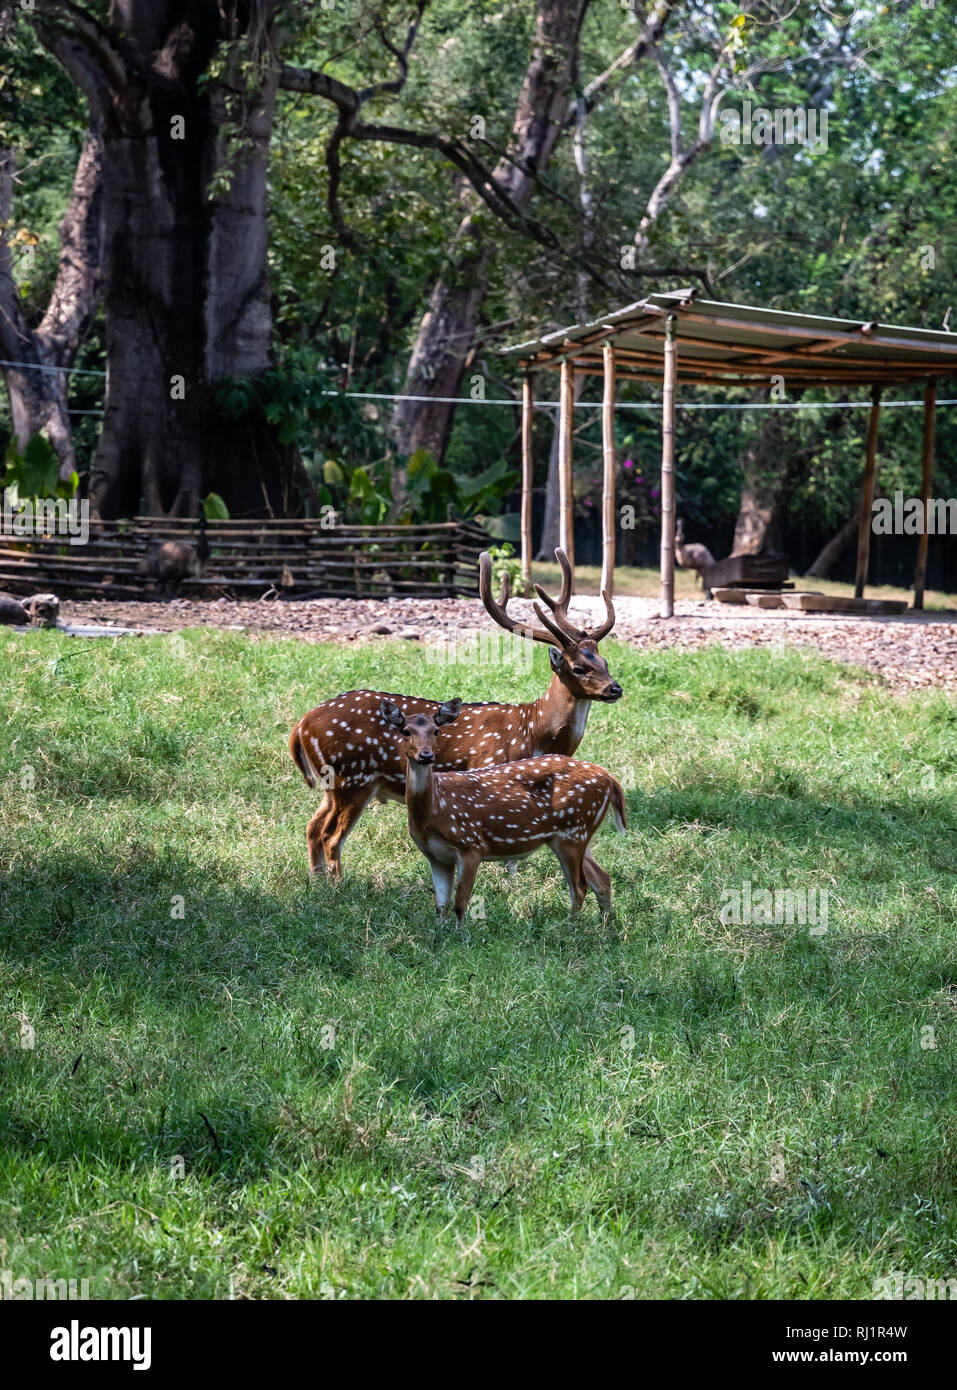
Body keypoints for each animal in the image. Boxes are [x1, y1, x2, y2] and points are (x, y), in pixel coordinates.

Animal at [288, 548, 622, 879]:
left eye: (605, 662)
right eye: (579, 667)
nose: (615, 688)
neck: (534, 731)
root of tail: (301, 725)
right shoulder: (486, 768)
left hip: (332, 785)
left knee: (312, 827)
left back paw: (317, 880)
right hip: (353, 777)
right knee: (331, 836)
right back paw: (337, 884)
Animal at [381, 697, 626, 923]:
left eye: (436, 731)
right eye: (405, 731)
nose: (426, 755)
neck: (433, 810)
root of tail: (610, 779)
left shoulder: (471, 844)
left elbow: (460, 903)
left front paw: (460, 935)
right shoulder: (435, 856)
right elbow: (441, 906)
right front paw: (440, 934)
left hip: (573, 831)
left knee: (580, 886)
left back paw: (568, 926)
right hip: (576, 833)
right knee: (602, 880)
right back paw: (604, 925)